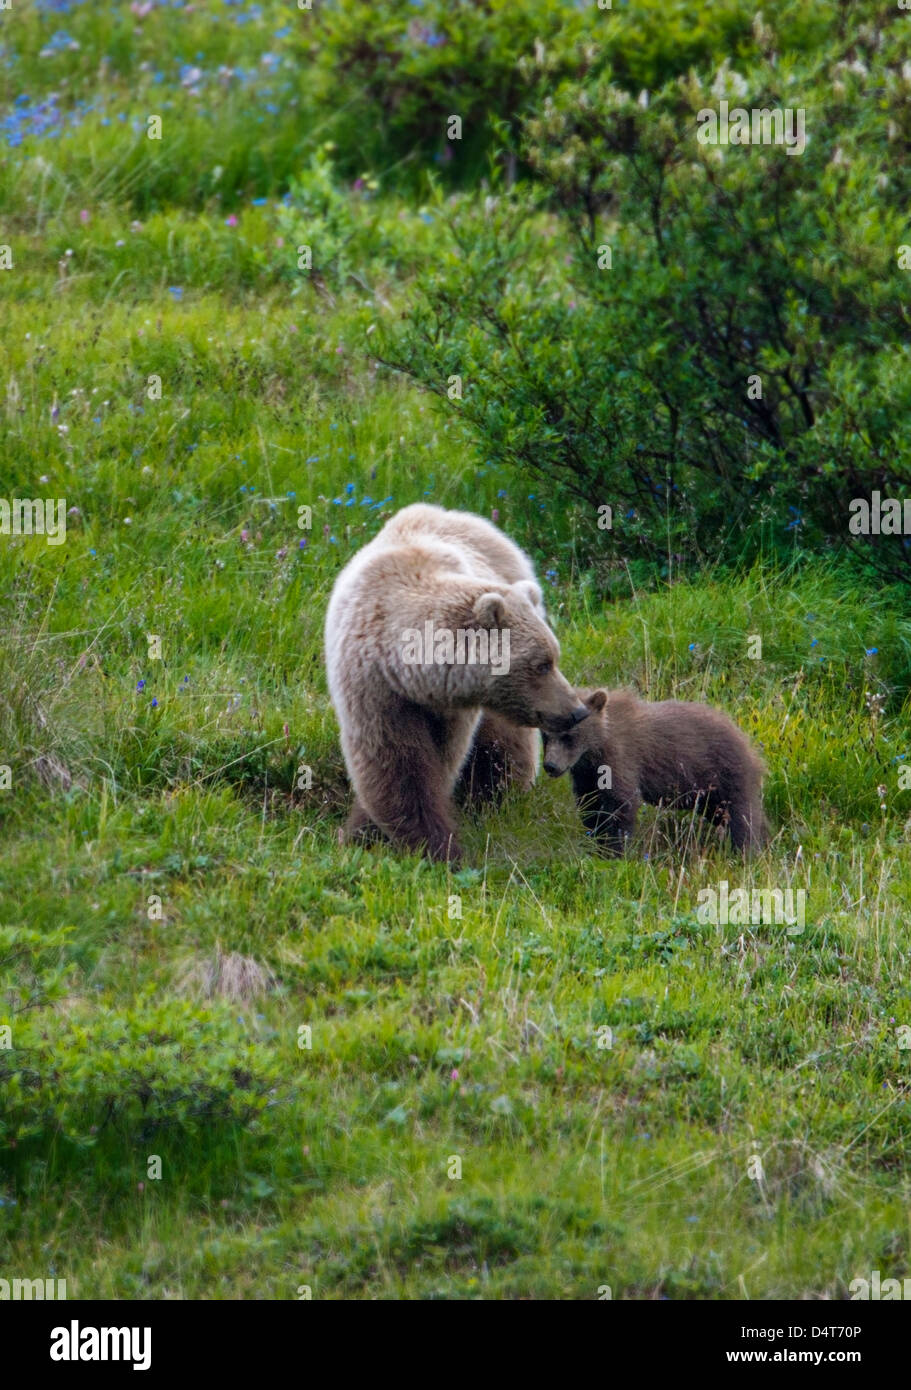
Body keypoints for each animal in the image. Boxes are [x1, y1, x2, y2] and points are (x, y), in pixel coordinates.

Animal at [325, 503, 589, 864]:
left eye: (553, 657)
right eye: (542, 664)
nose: (577, 711)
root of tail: (458, 513)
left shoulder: (451, 705)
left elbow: (439, 759)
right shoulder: (374, 688)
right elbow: (396, 764)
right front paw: (381, 836)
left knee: (505, 744)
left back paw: (504, 792)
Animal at [541, 688, 768, 855]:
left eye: (568, 735)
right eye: (545, 735)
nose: (550, 765)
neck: (596, 749)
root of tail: (748, 742)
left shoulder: (622, 759)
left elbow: (620, 805)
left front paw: (614, 850)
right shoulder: (587, 775)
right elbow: (590, 804)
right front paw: (595, 841)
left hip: (725, 773)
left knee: (742, 816)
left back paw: (747, 852)